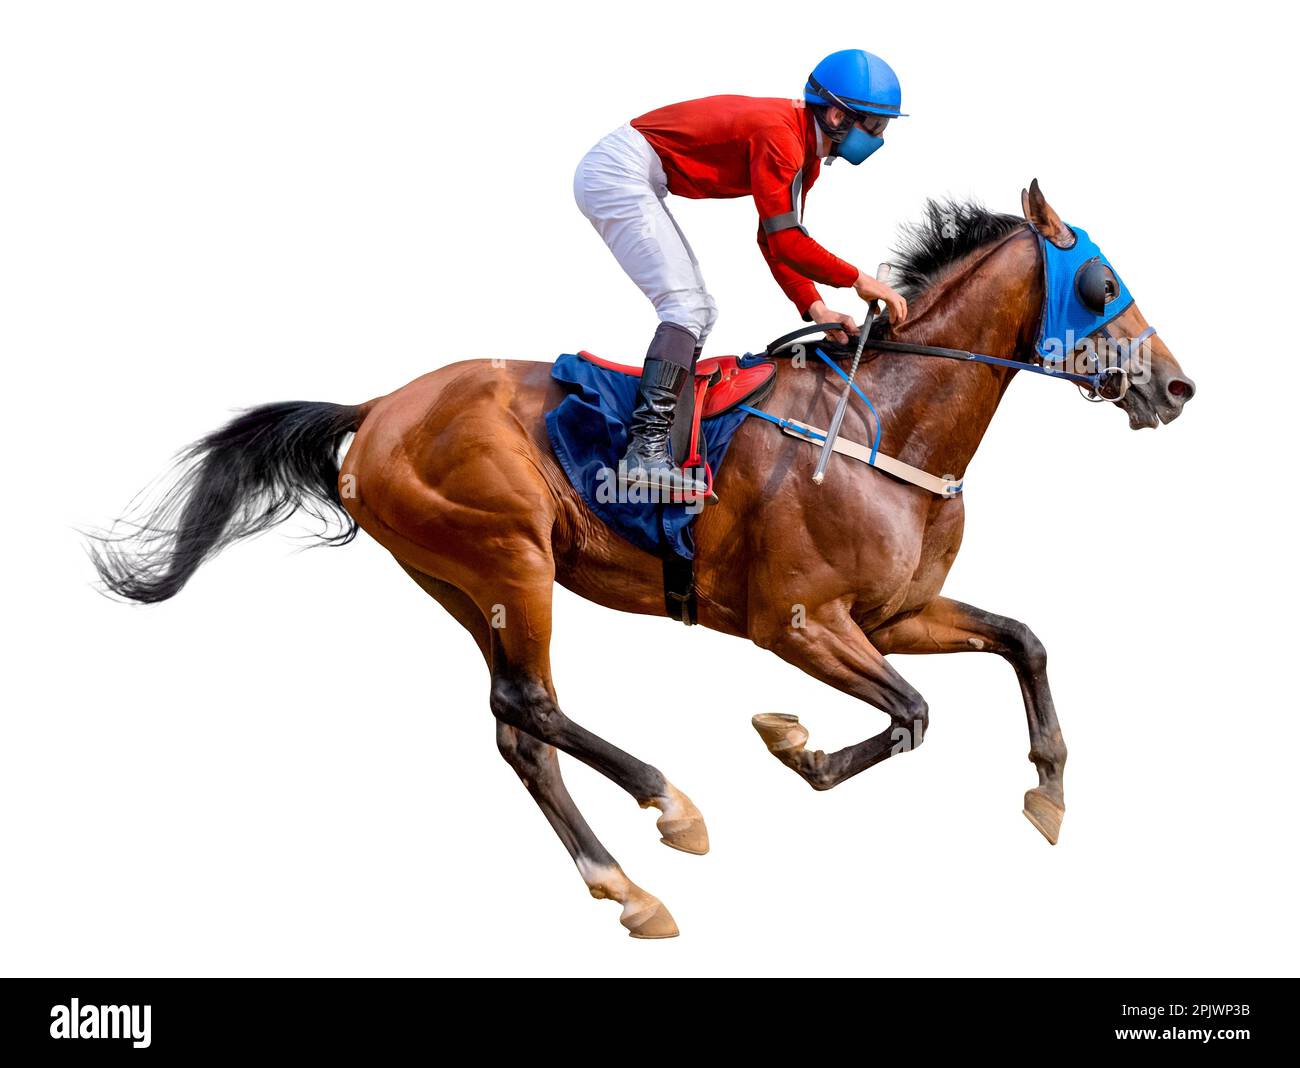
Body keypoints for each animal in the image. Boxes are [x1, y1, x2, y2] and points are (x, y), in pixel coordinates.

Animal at [89, 181, 1195, 939]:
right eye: (1103, 283)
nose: (1177, 385)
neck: (886, 426)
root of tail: (378, 406)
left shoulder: (894, 615)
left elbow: (1023, 640)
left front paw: (1048, 791)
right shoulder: (795, 622)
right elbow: (914, 714)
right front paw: (793, 744)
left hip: (464, 582)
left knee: (516, 729)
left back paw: (625, 887)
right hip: (508, 556)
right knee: (529, 705)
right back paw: (671, 806)